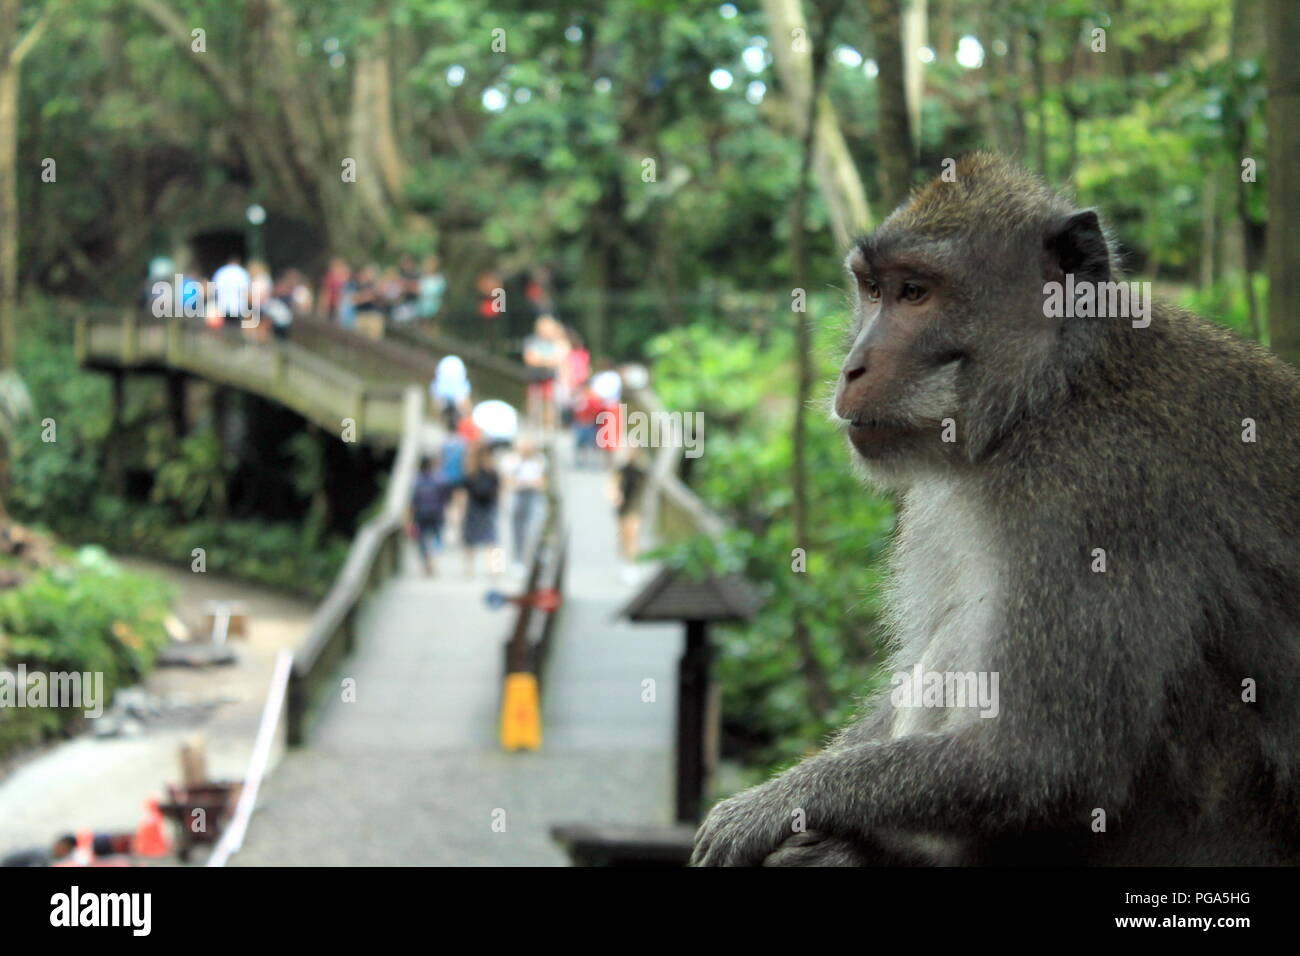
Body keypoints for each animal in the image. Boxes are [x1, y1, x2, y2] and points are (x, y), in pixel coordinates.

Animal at [692, 153, 1300, 867]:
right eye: (871, 290)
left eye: (915, 293)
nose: (851, 368)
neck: (1051, 396)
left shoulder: (1093, 498)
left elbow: (1045, 761)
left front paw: (767, 808)